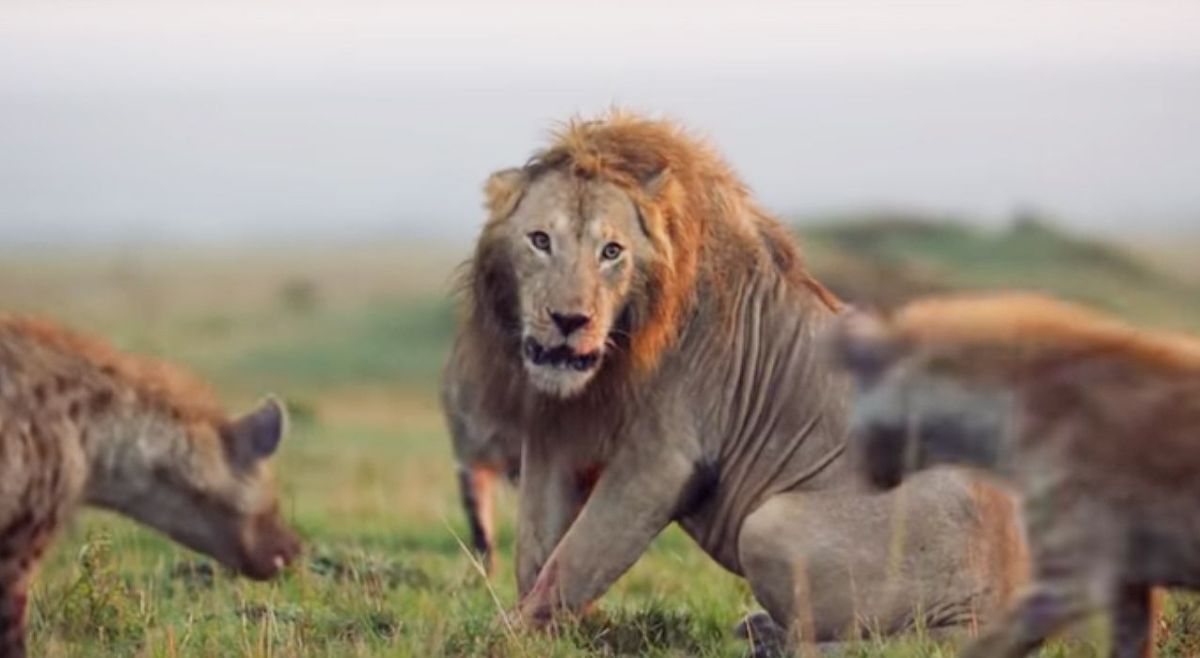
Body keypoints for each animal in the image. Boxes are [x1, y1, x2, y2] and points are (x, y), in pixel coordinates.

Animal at [452, 111, 1027, 650]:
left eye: (611, 251)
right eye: (540, 241)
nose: (570, 320)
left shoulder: (663, 457)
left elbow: (574, 560)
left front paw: (501, 637)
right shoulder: (555, 436)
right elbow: (536, 553)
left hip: (770, 527)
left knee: (923, 638)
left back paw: (774, 641)